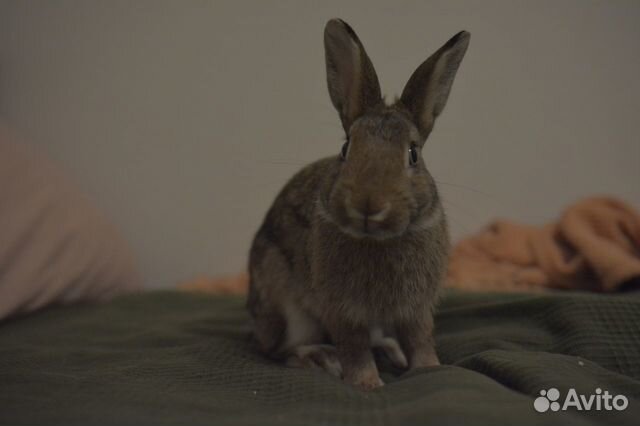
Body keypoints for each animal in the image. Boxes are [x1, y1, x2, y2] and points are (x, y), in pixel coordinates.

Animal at [247, 18, 470, 390]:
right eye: (346, 148)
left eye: (413, 154)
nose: (368, 204)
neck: (377, 239)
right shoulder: (343, 310)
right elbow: (353, 347)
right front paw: (367, 383)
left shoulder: (415, 309)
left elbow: (420, 338)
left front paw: (430, 369)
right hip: (288, 310)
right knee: (281, 352)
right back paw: (324, 359)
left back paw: (391, 351)